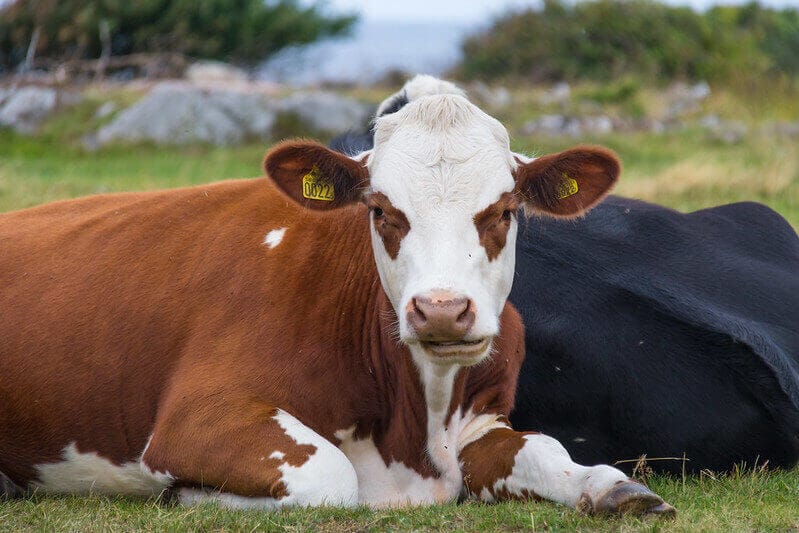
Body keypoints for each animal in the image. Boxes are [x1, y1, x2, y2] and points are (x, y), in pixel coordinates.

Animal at [0, 75, 673, 515]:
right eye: (380, 210)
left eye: (505, 210)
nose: (442, 310)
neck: (413, 431)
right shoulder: (195, 419)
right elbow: (333, 481)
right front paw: (193, 494)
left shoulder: (481, 420)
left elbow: (542, 449)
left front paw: (608, 486)